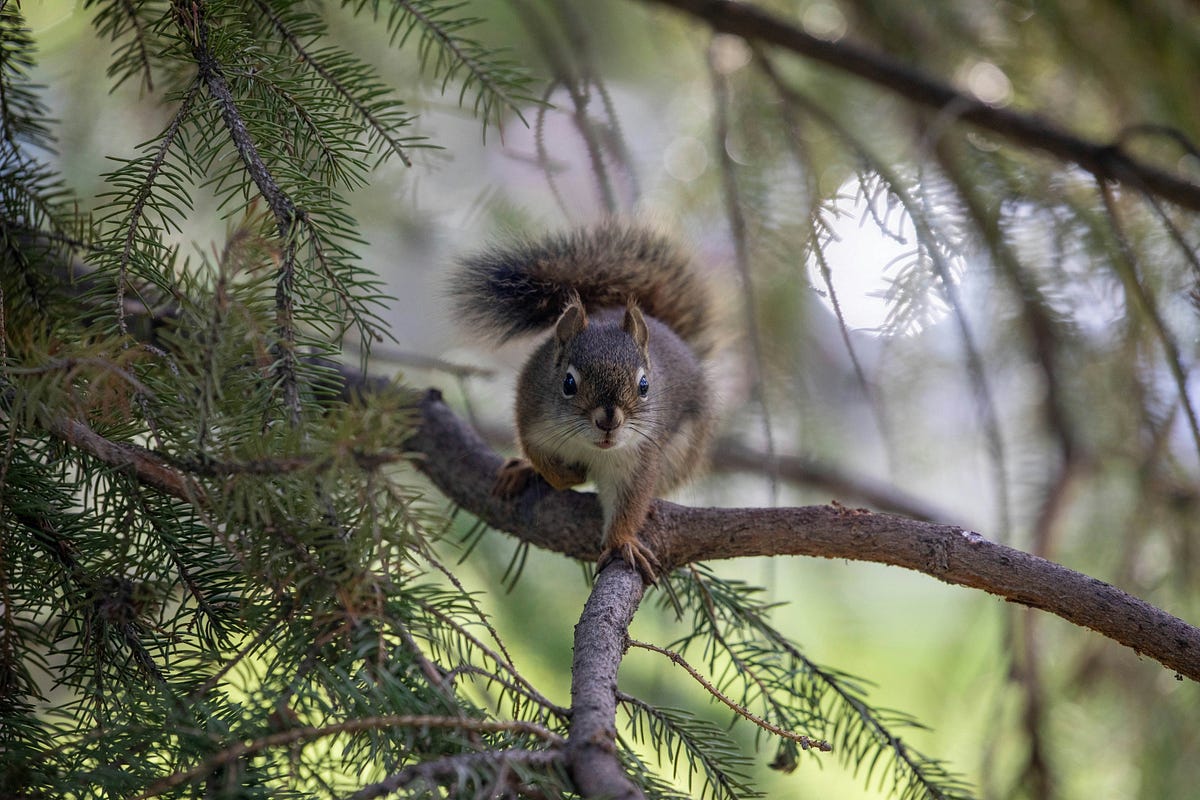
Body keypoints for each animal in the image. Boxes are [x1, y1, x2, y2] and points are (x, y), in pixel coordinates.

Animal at [451, 221, 715, 582]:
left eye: (644, 385)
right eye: (568, 383)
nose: (608, 421)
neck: (591, 449)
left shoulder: (638, 458)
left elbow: (629, 501)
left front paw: (623, 542)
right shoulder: (531, 416)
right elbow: (539, 455)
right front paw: (563, 475)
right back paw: (523, 471)